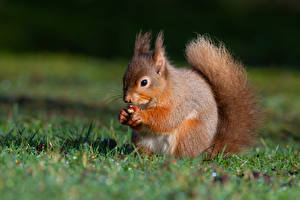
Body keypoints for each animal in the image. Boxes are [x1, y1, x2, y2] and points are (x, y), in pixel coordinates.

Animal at [118, 31, 258, 158]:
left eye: (144, 82)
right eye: (124, 78)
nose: (127, 99)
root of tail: (205, 151)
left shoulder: (180, 100)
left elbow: (167, 118)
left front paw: (141, 115)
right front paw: (124, 115)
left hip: (187, 135)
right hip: (141, 141)